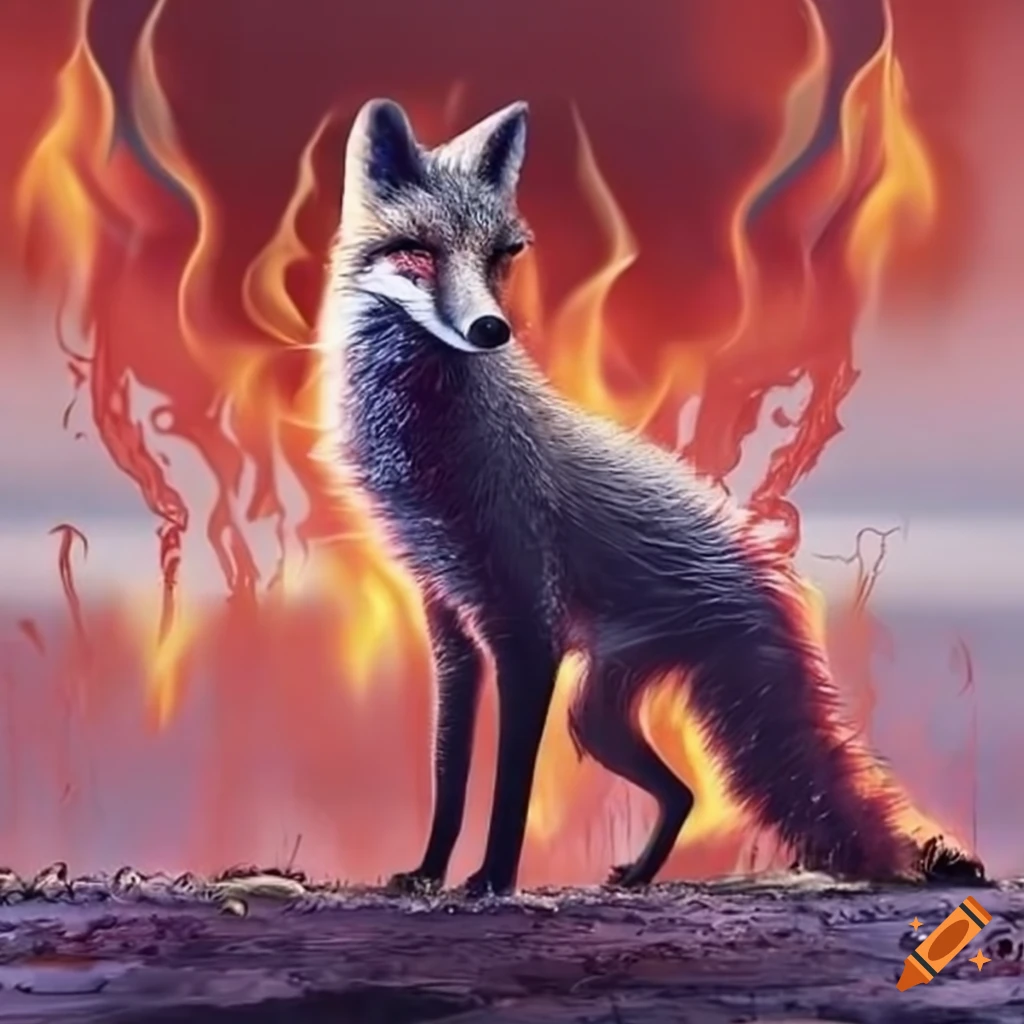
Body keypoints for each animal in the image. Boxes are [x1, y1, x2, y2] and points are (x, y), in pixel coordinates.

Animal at [318, 97, 985, 897]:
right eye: (418, 251)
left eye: (503, 255)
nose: (490, 329)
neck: (432, 442)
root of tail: (762, 573)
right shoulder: (452, 620)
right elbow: (450, 775)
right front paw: (427, 872)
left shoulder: (527, 629)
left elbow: (511, 788)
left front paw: (494, 880)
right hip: (600, 715)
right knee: (685, 793)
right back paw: (638, 873)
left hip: (591, 713)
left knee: (689, 791)